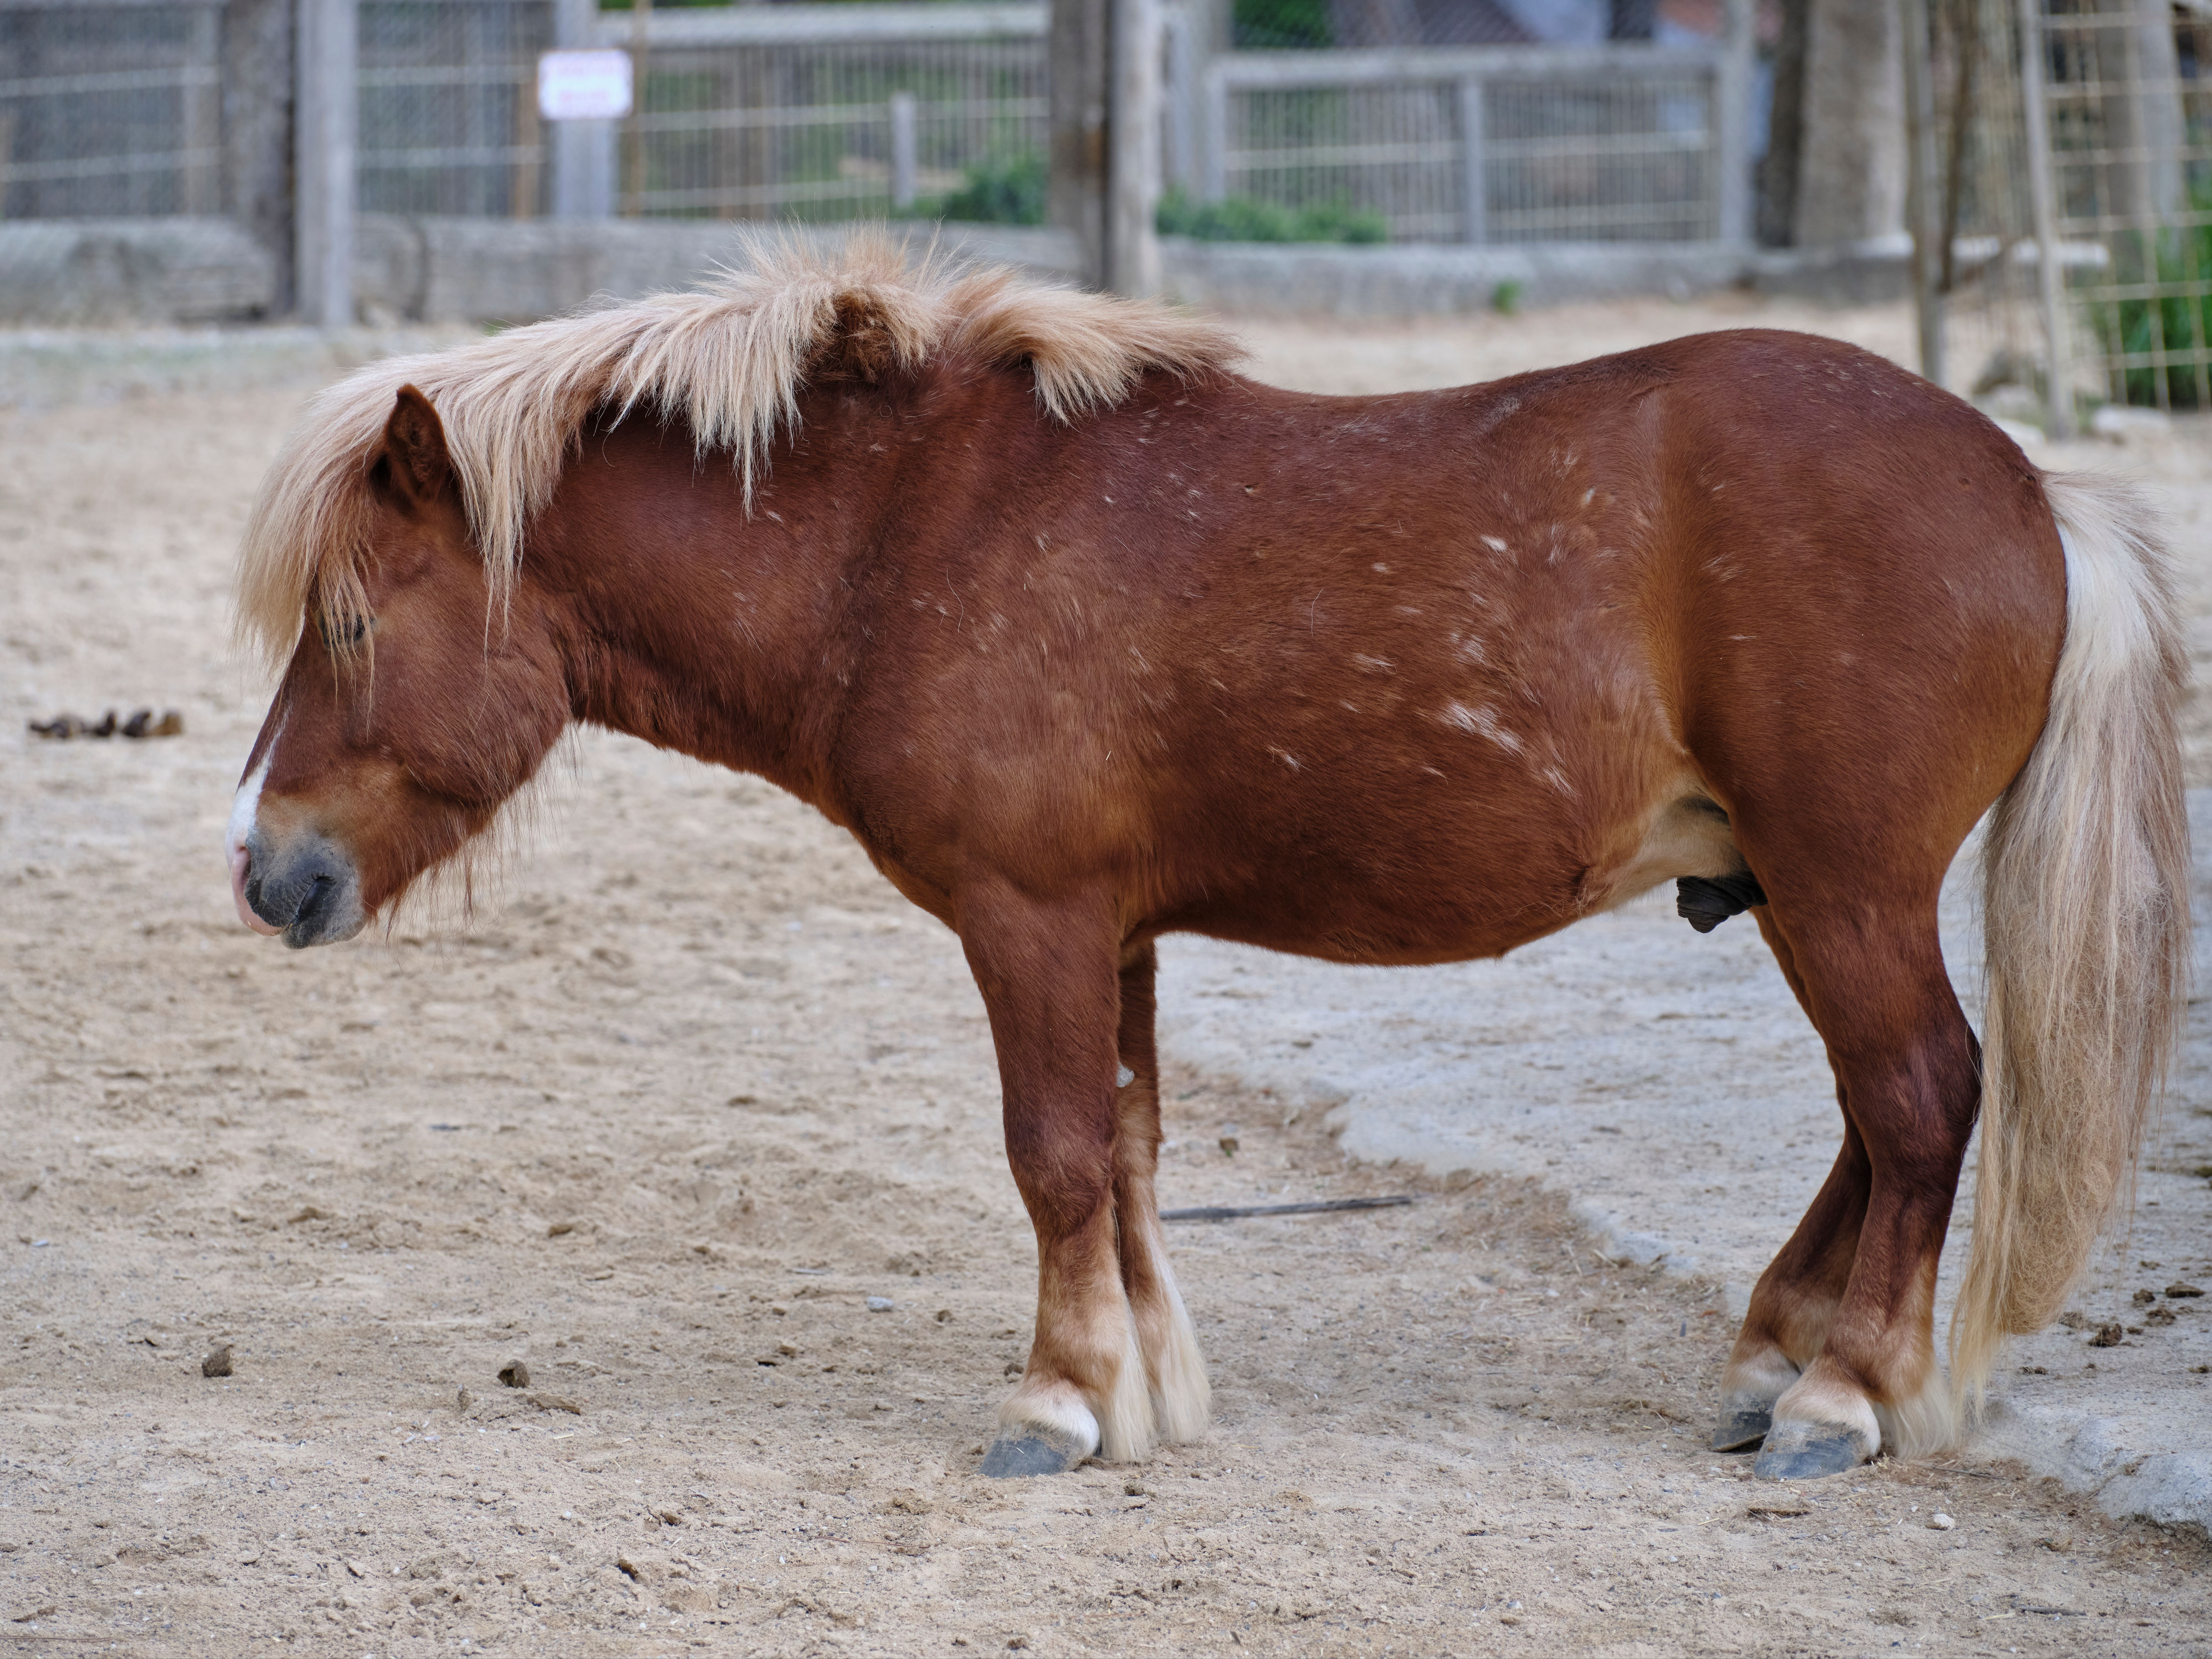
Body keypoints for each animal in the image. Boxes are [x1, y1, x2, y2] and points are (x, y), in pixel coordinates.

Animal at [224, 235, 2188, 1482]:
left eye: (349, 621)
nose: (262, 868)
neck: (903, 539)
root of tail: (2029, 488)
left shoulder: (1026, 921)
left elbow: (1053, 1151)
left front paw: (1061, 1401)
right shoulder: (1115, 930)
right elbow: (1130, 1149)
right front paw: (1148, 1386)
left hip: (1843, 893)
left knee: (1921, 1096)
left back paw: (1840, 1400)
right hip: (1802, 895)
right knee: (1879, 1112)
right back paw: (1776, 1356)